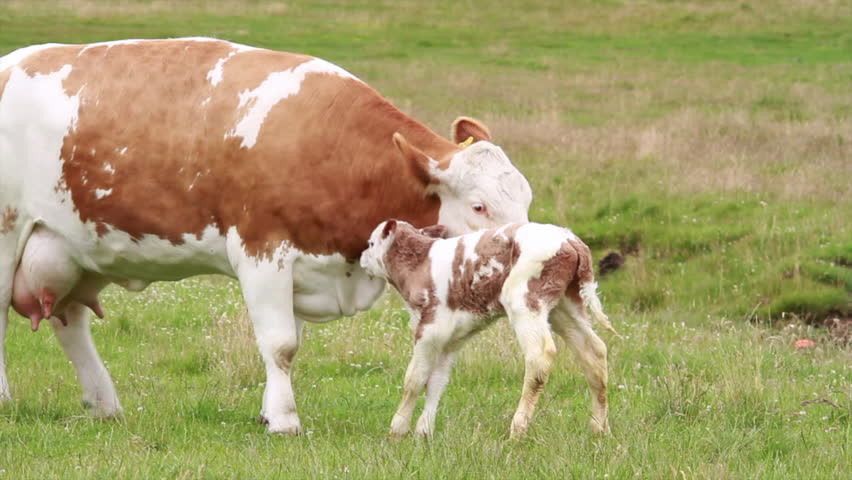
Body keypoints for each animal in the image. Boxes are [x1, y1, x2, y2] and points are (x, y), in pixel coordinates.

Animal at [0, 38, 533, 435]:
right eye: (480, 206)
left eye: (526, 199)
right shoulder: (260, 251)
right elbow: (280, 344)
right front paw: (284, 420)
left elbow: (289, 341)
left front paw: (267, 411)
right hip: (7, 233)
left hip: (68, 248)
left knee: (68, 319)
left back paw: (104, 403)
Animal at [359, 220, 614, 438]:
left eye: (371, 243)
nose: (361, 257)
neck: (420, 265)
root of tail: (570, 238)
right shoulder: (449, 341)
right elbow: (437, 382)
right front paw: (424, 432)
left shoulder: (430, 329)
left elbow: (414, 378)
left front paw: (398, 429)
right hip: (565, 306)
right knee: (594, 352)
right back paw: (599, 428)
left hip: (524, 301)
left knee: (540, 355)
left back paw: (517, 430)